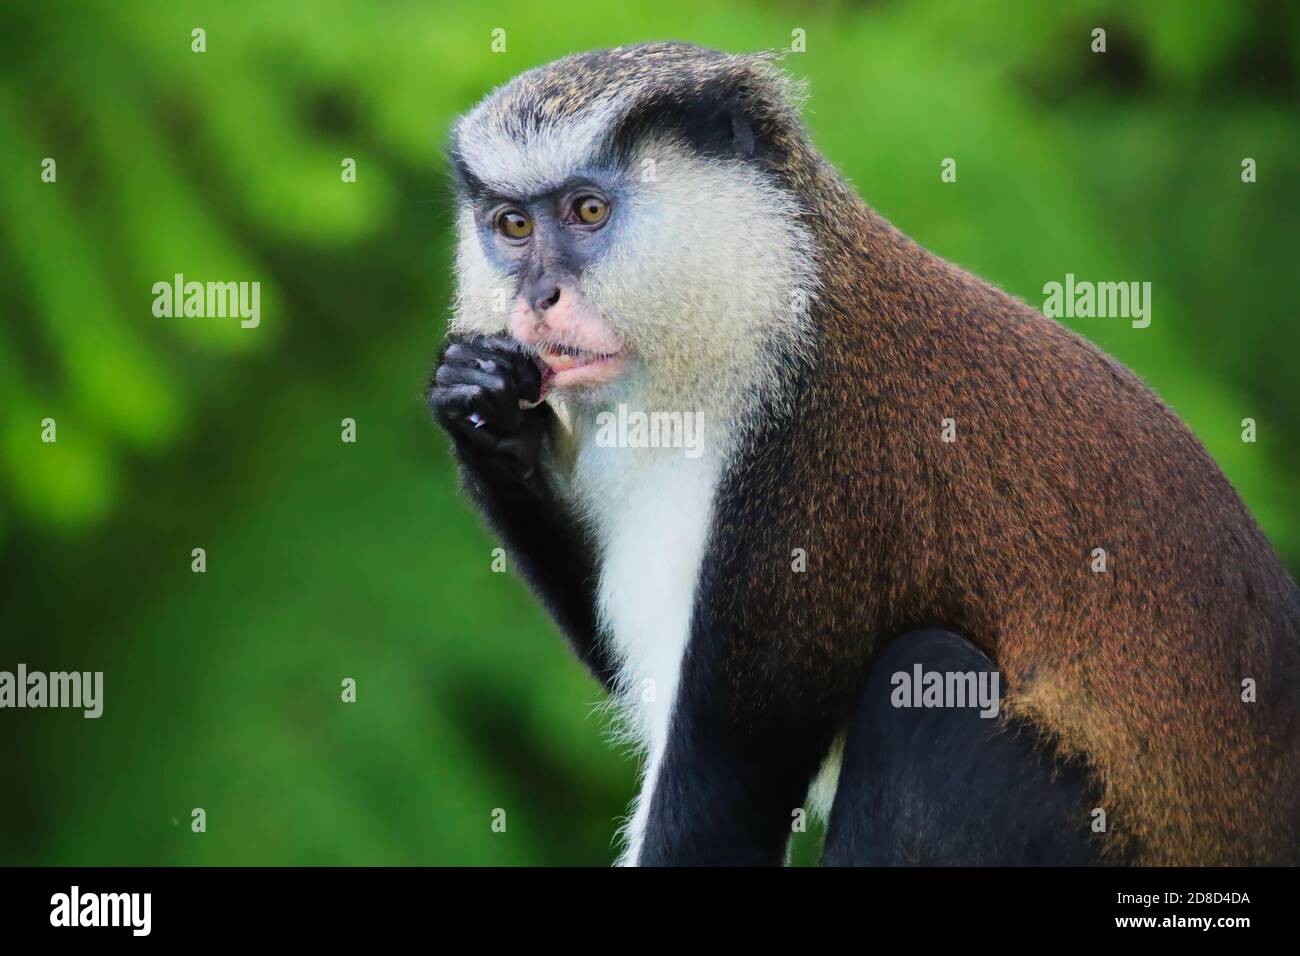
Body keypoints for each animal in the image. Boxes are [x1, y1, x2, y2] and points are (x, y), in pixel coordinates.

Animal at [429, 42, 1300, 866]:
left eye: (587, 210)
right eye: (513, 226)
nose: (536, 299)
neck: (762, 320)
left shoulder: (808, 487)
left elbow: (722, 788)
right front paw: (483, 408)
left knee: (918, 701)